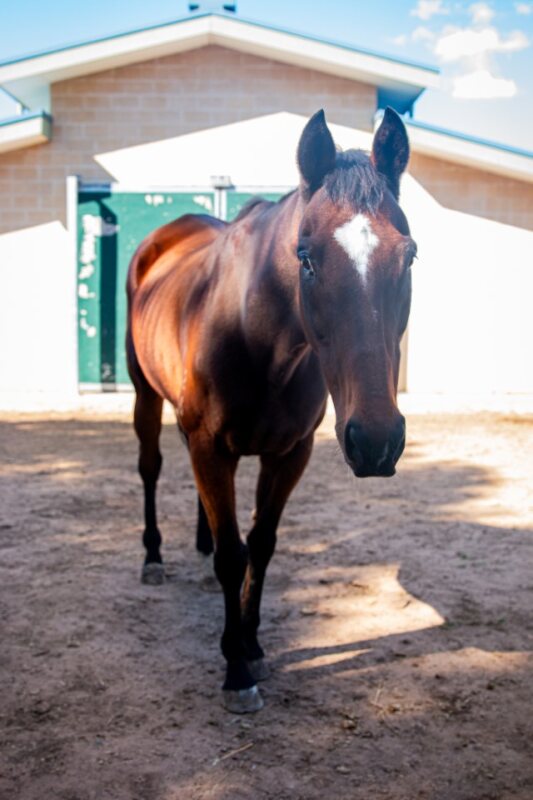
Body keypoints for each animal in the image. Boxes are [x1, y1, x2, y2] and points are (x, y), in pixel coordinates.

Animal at [126, 107, 416, 713]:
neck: (256, 334)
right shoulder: (213, 448)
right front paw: (236, 669)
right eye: (305, 257)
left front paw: (253, 644)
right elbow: (234, 556)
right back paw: (153, 558)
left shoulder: (288, 454)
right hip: (145, 394)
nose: (377, 440)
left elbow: (259, 547)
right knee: (151, 468)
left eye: (410, 255)